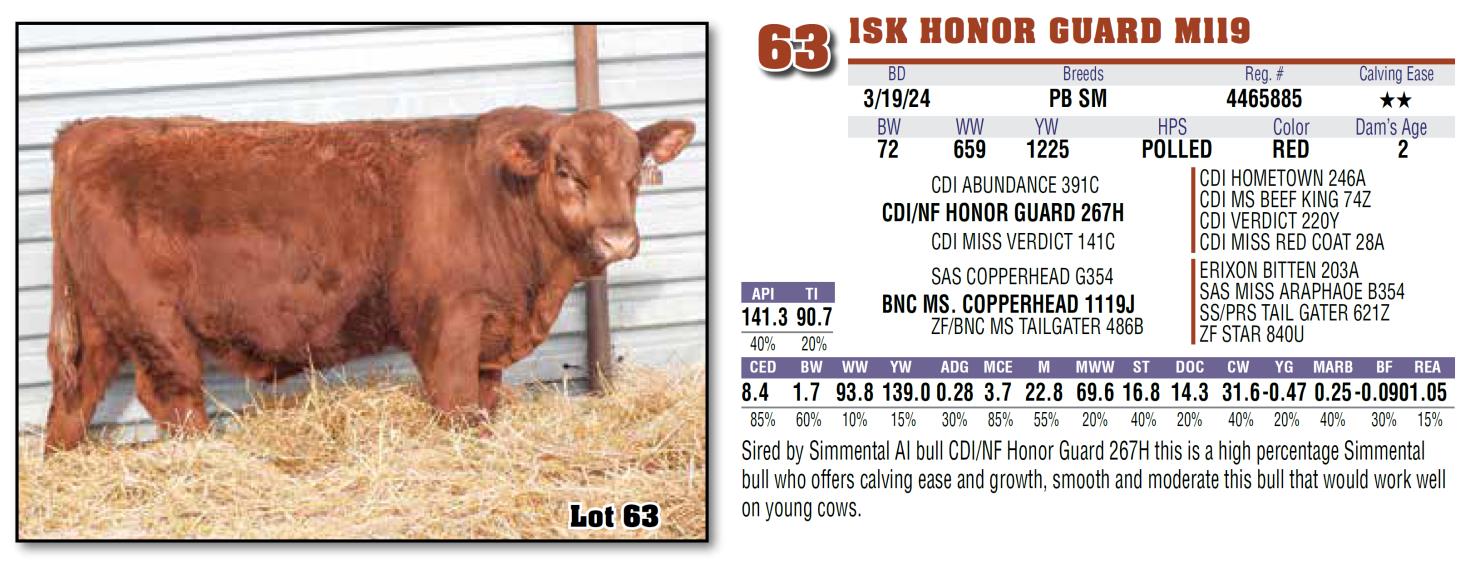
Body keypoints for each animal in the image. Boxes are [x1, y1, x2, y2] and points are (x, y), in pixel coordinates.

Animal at [43, 107, 695, 452]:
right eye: (566, 172)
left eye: (635, 171)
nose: (617, 239)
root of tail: (87, 131)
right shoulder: (449, 322)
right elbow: (456, 402)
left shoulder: (490, 333)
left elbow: (484, 400)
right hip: (152, 320)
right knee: (171, 395)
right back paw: (210, 454)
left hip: (101, 317)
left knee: (75, 394)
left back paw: (58, 460)